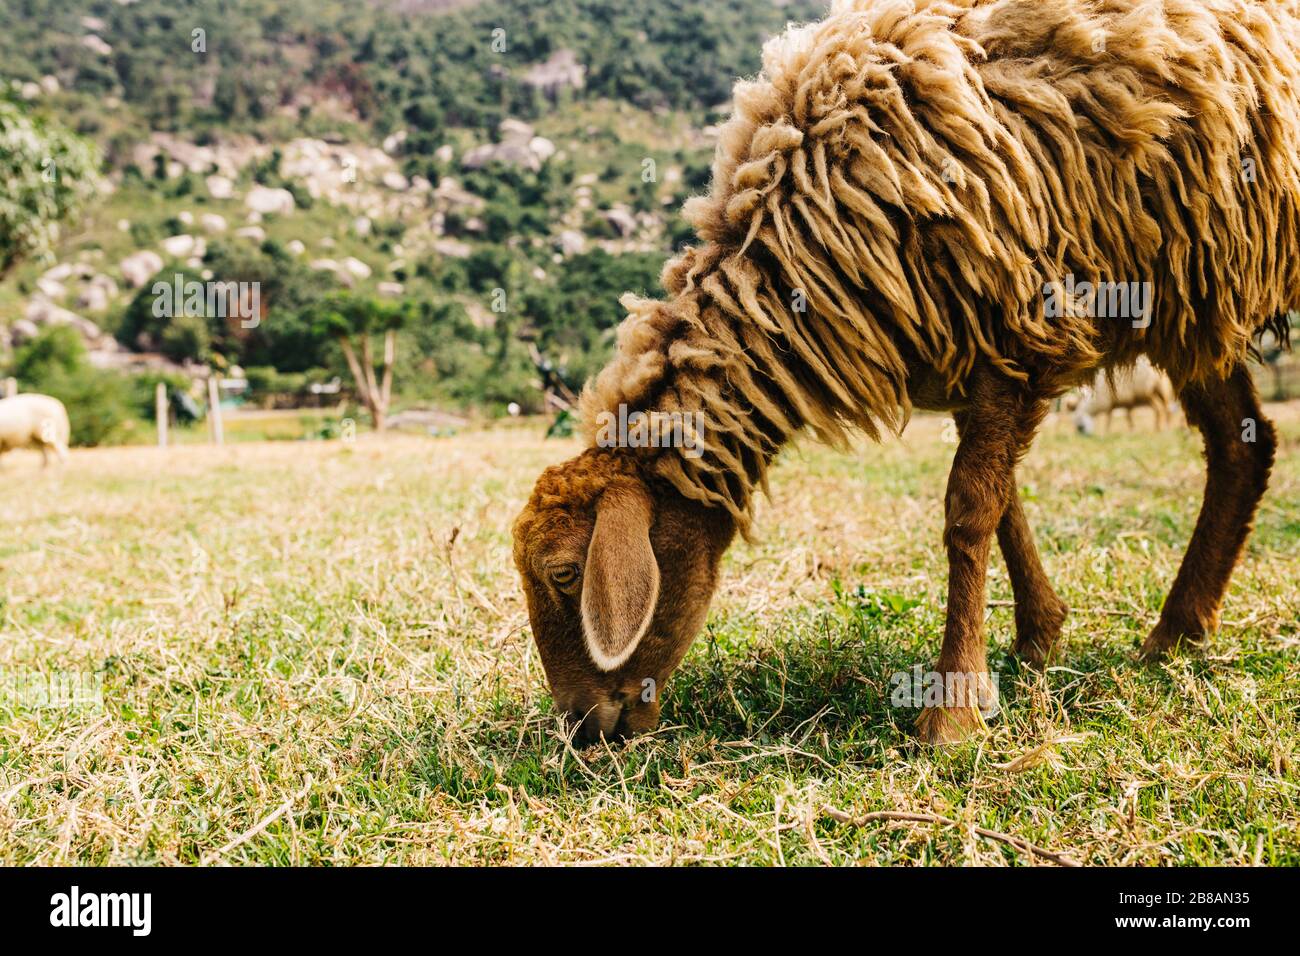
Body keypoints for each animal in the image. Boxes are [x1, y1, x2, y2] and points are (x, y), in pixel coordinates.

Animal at [513, 0, 1297, 745]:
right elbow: (1003, 504)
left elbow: (970, 510)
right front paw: (1036, 638)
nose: (580, 727)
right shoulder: (975, 356)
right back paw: (1177, 634)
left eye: (565, 574)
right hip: (1196, 292)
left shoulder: (1016, 328)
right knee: (1242, 445)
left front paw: (953, 711)